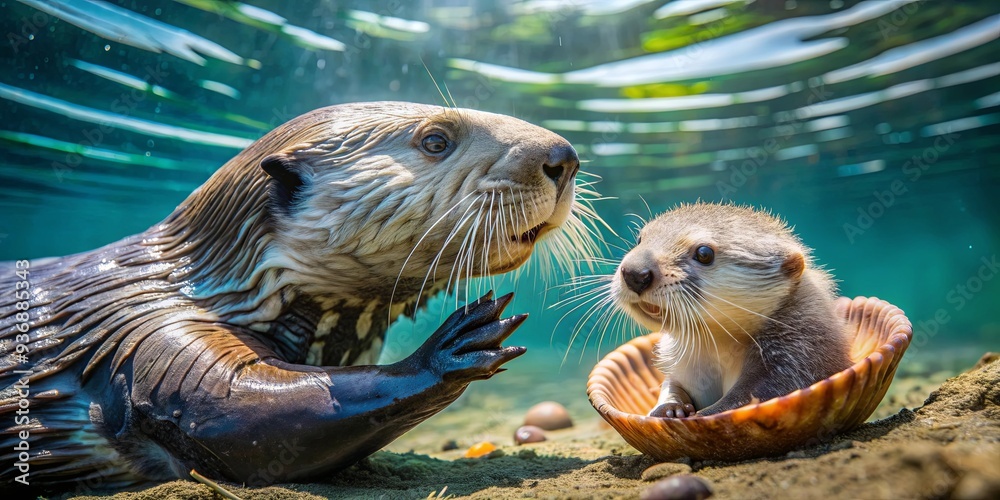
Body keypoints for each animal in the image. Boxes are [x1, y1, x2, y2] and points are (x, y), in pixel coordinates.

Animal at [0, 102, 594, 490]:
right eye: (435, 140)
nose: (562, 156)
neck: (213, 282)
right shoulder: (151, 328)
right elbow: (232, 412)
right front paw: (457, 344)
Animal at [611, 202, 852, 418]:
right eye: (639, 239)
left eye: (704, 253)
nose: (635, 273)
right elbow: (670, 383)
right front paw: (668, 407)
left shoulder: (796, 357)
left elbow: (754, 393)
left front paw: (703, 414)